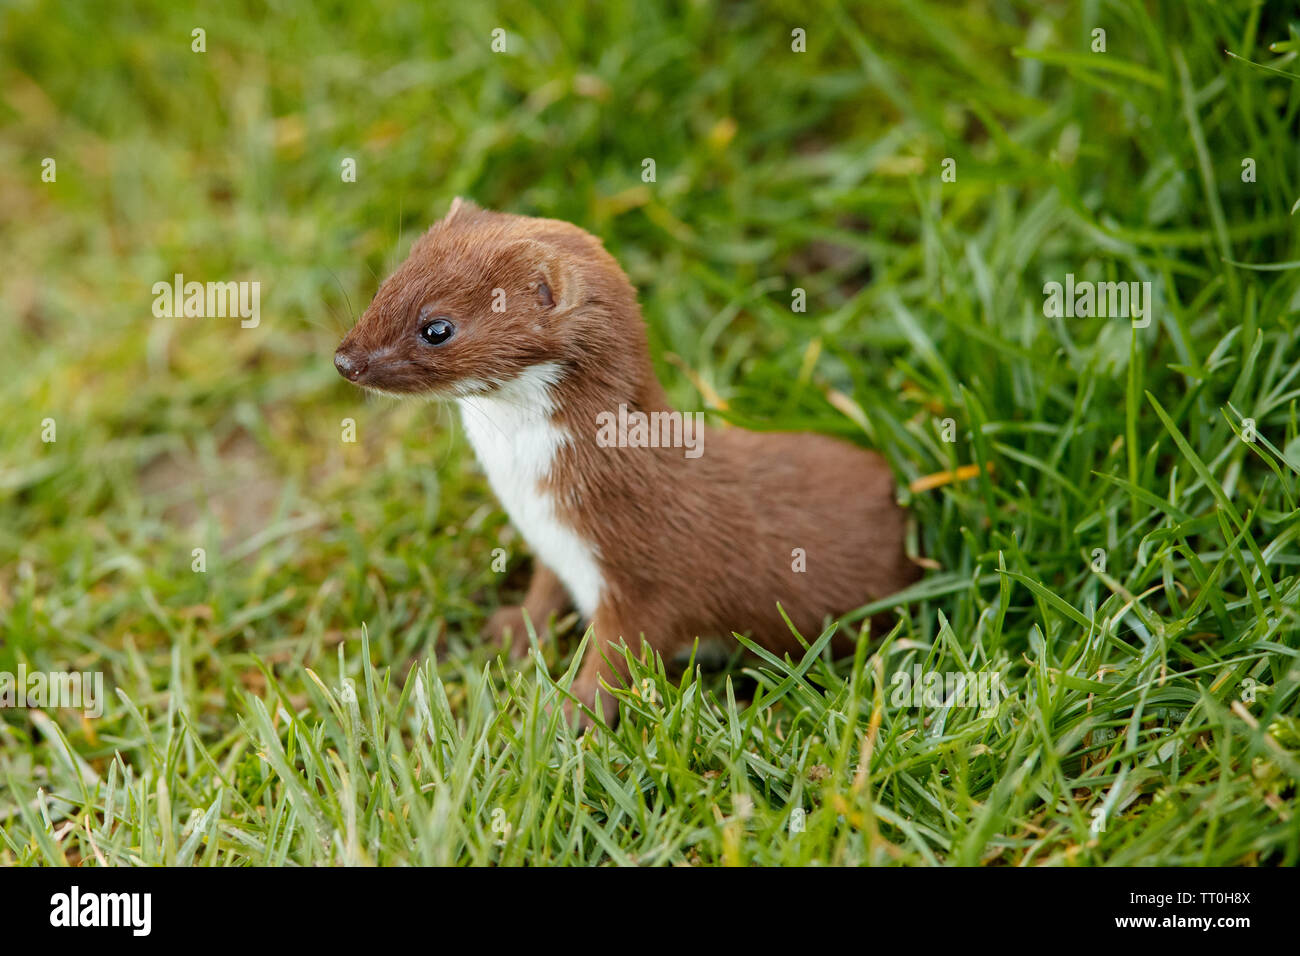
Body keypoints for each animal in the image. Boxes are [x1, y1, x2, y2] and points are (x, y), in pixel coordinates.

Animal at [340, 200, 920, 723]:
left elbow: (626, 651)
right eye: (384, 287)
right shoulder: (554, 549)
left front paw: (569, 711)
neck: (536, 500)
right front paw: (508, 629)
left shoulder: (648, 570)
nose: (345, 360)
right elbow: (545, 594)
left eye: (438, 327)